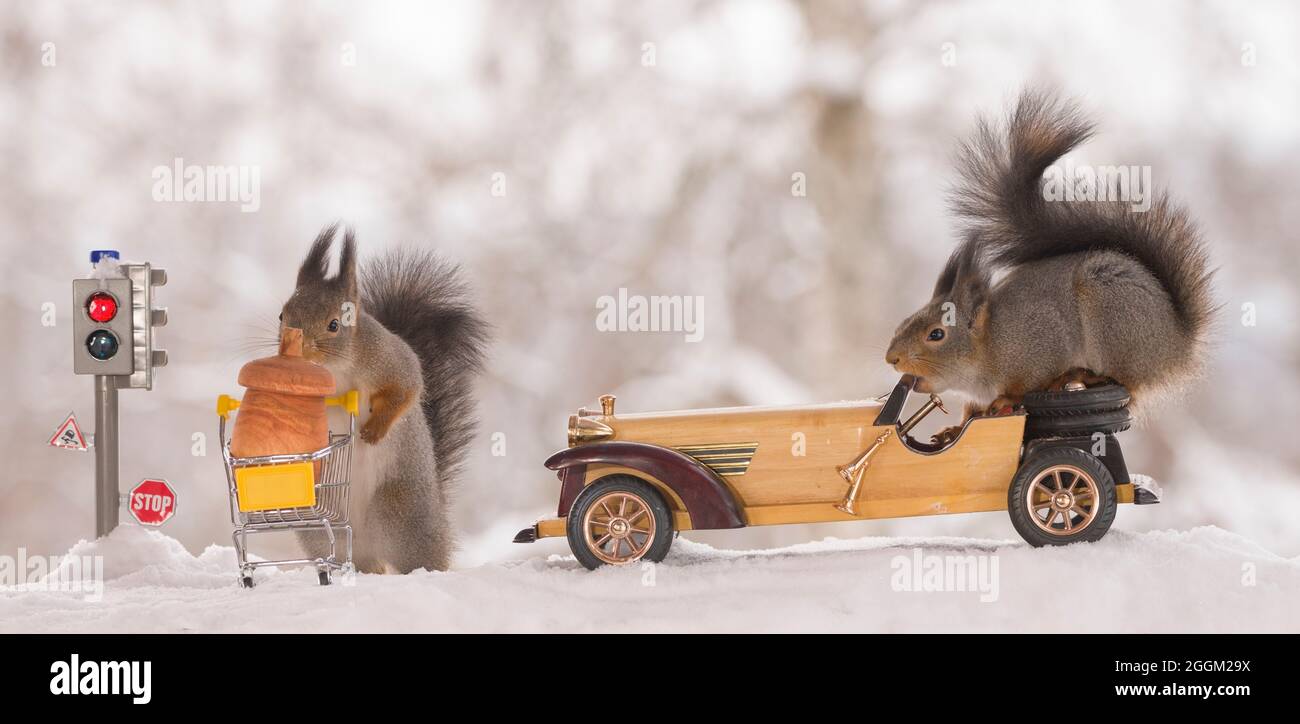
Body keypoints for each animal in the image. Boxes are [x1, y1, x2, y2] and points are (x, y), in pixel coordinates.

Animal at [279, 224, 488, 573]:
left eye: (334, 324)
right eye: (281, 315)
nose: (291, 352)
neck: (333, 372)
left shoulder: (391, 360)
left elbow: (407, 389)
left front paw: (375, 429)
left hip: (399, 512)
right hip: (319, 527)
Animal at [885, 90, 1216, 444]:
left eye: (936, 334)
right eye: (904, 322)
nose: (891, 358)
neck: (990, 346)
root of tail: (1177, 344)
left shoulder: (1041, 342)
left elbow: (1022, 386)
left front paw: (1007, 397)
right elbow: (974, 417)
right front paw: (953, 431)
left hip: (1113, 322)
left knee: (1128, 384)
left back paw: (1081, 375)